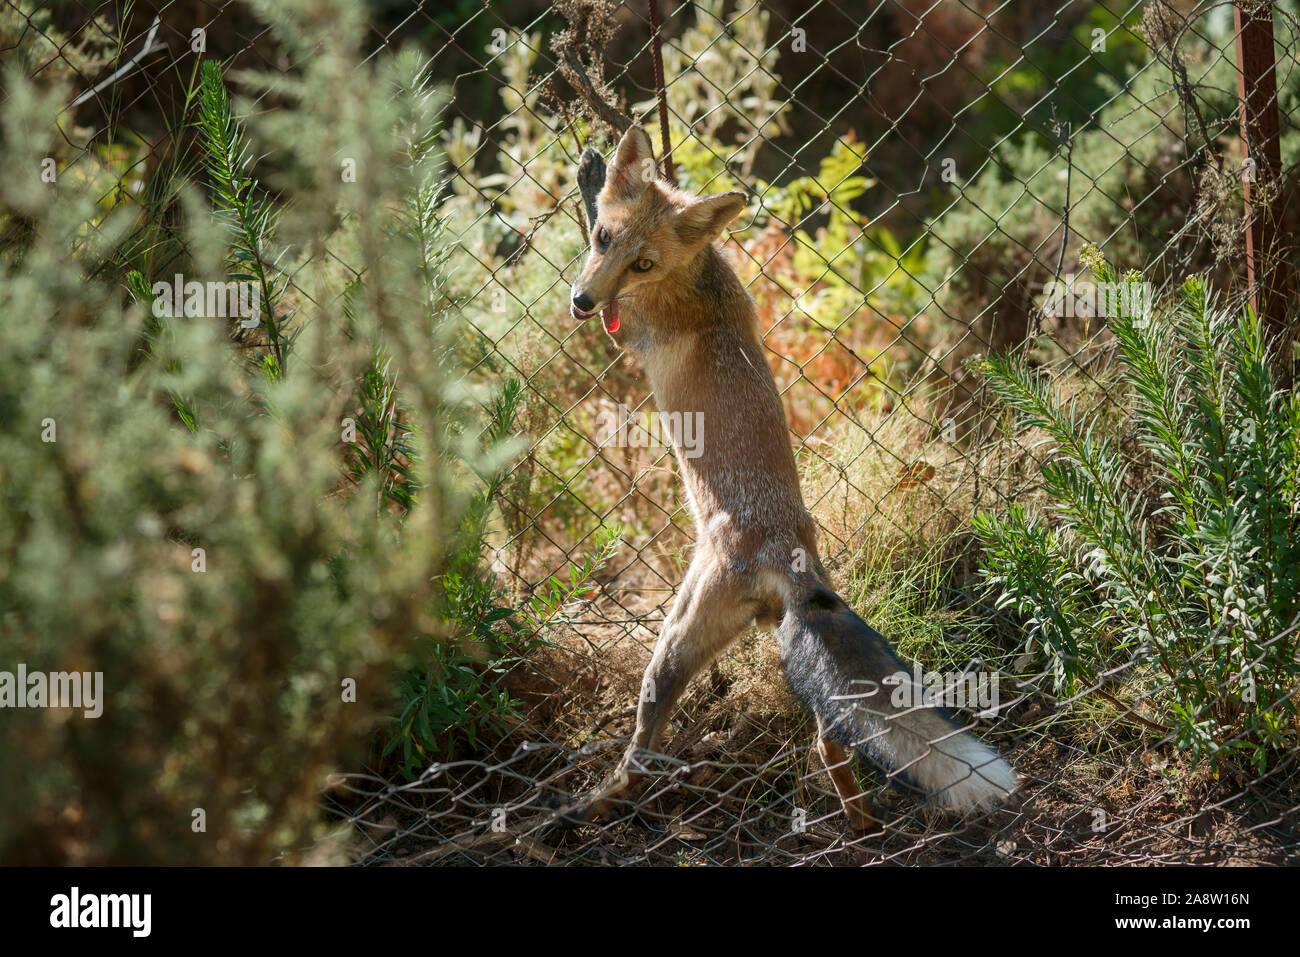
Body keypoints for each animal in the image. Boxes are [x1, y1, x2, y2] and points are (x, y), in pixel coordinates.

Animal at [563, 124, 1019, 829]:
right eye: (606, 242)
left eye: (642, 264)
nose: (582, 302)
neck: (698, 278)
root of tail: (795, 560)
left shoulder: (631, 332)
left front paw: (590, 172)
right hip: (784, 669)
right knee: (836, 738)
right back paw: (858, 822)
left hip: (673, 643)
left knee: (644, 743)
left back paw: (600, 797)